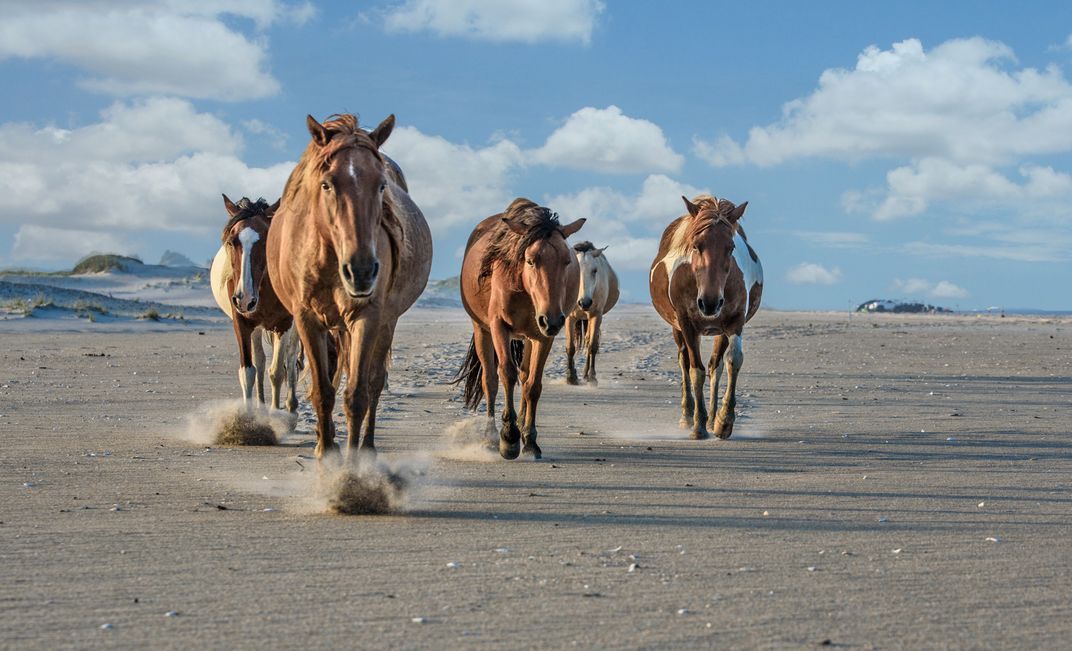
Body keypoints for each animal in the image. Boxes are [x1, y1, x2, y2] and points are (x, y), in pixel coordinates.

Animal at [209, 195, 301, 412]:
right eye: (231, 241)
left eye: (265, 240)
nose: (244, 298)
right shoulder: (242, 322)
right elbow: (248, 372)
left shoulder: (284, 324)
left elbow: (277, 372)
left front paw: (276, 414)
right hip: (256, 326)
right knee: (260, 360)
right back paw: (260, 405)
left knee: (291, 357)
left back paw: (291, 405)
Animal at [266, 114, 432, 459]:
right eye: (326, 183)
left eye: (381, 185)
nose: (362, 271)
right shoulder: (307, 319)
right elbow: (323, 390)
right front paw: (325, 451)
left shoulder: (366, 317)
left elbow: (357, 393)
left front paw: (352, 464)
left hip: (385, 321)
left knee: (374, 381)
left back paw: (367, 446)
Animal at [454, 198, 585, 459]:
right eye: (531, 260)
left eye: (567, 261)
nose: (552, 319)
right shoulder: (499, 327)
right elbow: (506, 374)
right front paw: (509, 437)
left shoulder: (543, 336)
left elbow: (532, 385)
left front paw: (530, 440)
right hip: (482, 330)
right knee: (490, 380)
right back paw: (490, 437)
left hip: (530, 336)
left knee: (524, 377)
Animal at [565, 241, 619, 386]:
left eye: (595, 270)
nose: (585, 303)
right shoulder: (569, 318)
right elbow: (570, 346)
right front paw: (570, 377)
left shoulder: (596, 315)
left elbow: (592, 345)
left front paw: (591, 376)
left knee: (589, 340)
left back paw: (585, 373)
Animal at [649, 194, 763, 439]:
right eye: (696, 245)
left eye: (731, 247)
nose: (710, 303)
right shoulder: (687, 324)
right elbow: (695, 371)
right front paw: (698, 425)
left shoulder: (735, 321)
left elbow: (732, 361)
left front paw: (723, 421)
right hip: (678, 328)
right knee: (684, 362)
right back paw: (687, 416)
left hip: (720, 331)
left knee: (715, 367)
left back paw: (712, 418)